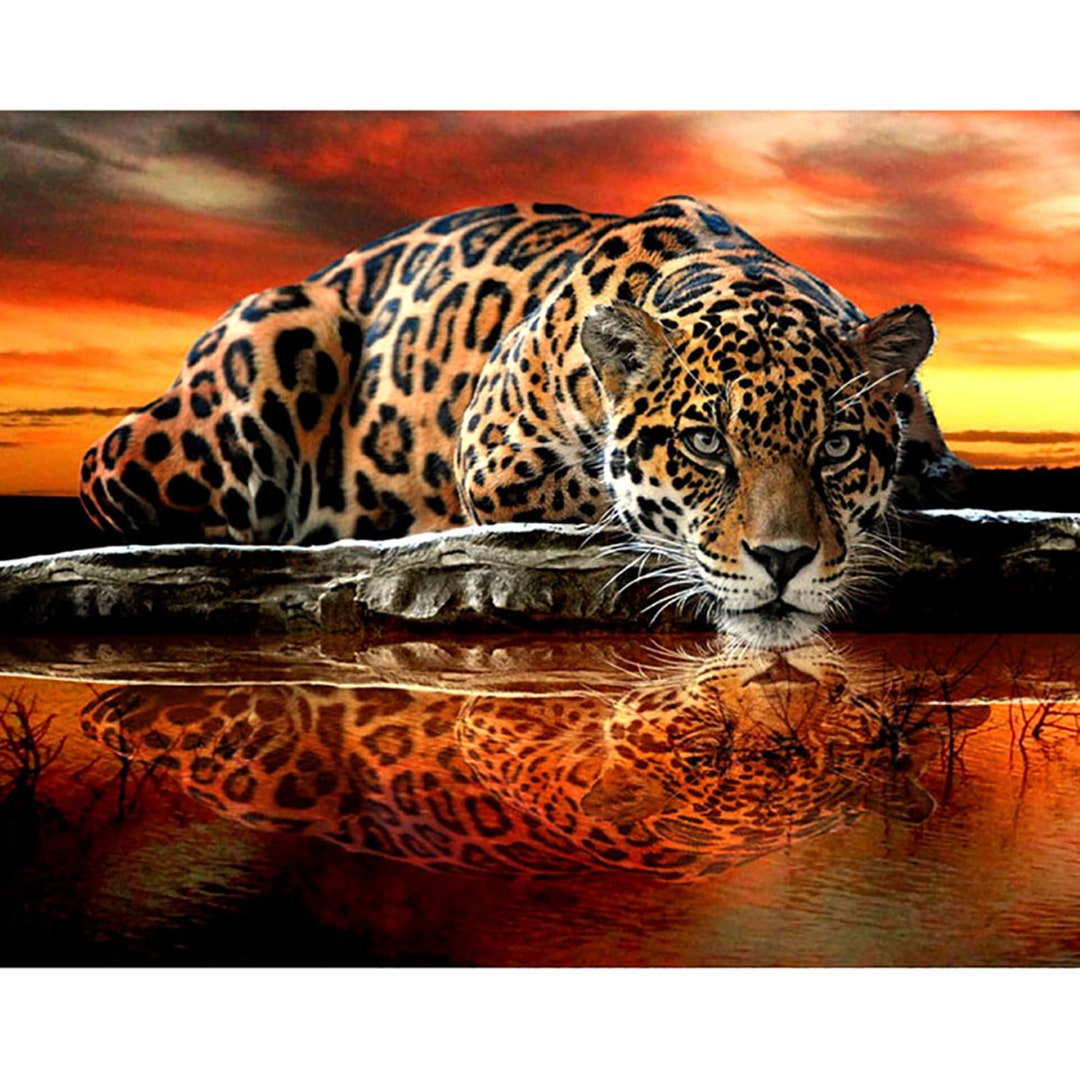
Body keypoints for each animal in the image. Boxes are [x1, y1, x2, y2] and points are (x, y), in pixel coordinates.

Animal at [79, 195, 971, 647]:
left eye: (838, 447)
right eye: (705, 445)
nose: (784, 561)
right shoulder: (494, 455)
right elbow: (606, 500)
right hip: (272, 342)